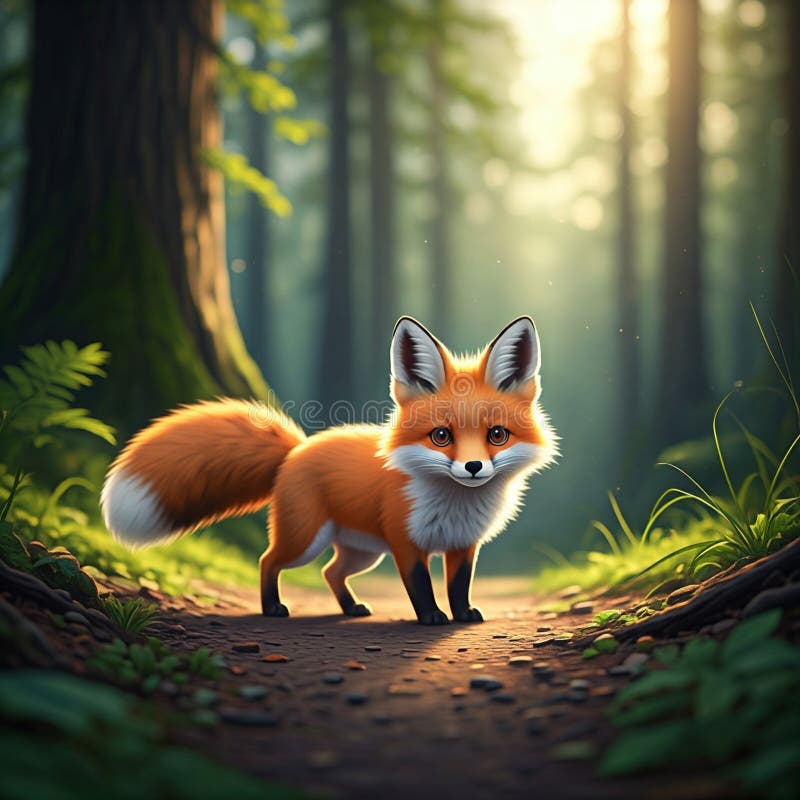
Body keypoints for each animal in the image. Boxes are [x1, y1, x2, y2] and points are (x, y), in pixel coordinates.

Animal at [101, 316, 557, 625]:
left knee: (330, 571)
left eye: (497, 435)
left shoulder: (463, 545)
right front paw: (430, 618)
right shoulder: (405, 543)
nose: (474, 467)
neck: (454, 504)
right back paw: (272, 608)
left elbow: (458, 587)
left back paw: (351, 608)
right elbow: (421, 588)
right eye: (441, 436)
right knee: (268, 561)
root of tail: (298, 450)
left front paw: (461, 615)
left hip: (362, 552)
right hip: (307, 538)